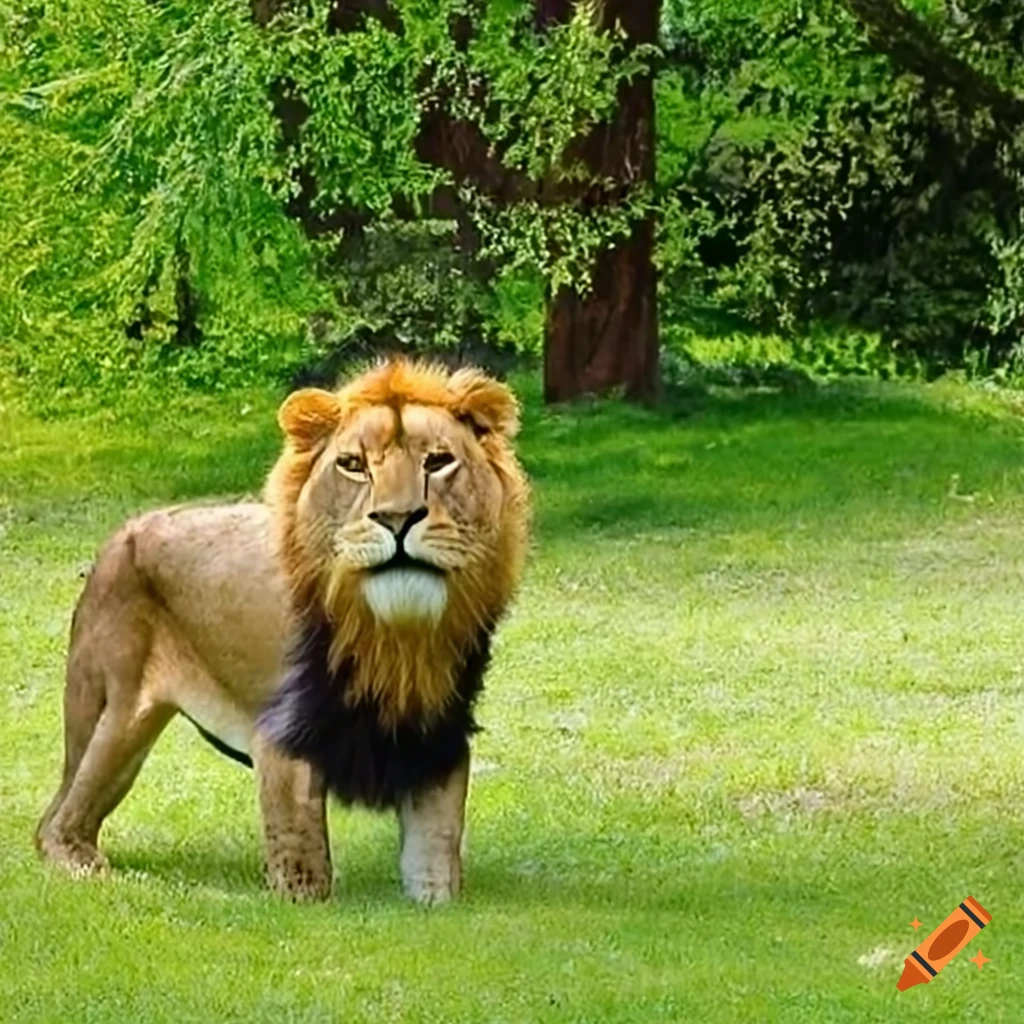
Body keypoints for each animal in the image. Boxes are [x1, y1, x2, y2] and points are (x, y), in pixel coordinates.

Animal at [34, 359, 530, 903]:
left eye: (438, 462)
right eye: (353, 464)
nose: (397, 517)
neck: (394, 637)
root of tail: (121, 532)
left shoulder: (440, 737)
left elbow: (437, 849)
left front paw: (436, 902)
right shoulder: (284, 734)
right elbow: (301, 848)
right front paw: (300, 900)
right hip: (118, 709)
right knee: (58, 821)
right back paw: (87, 867)